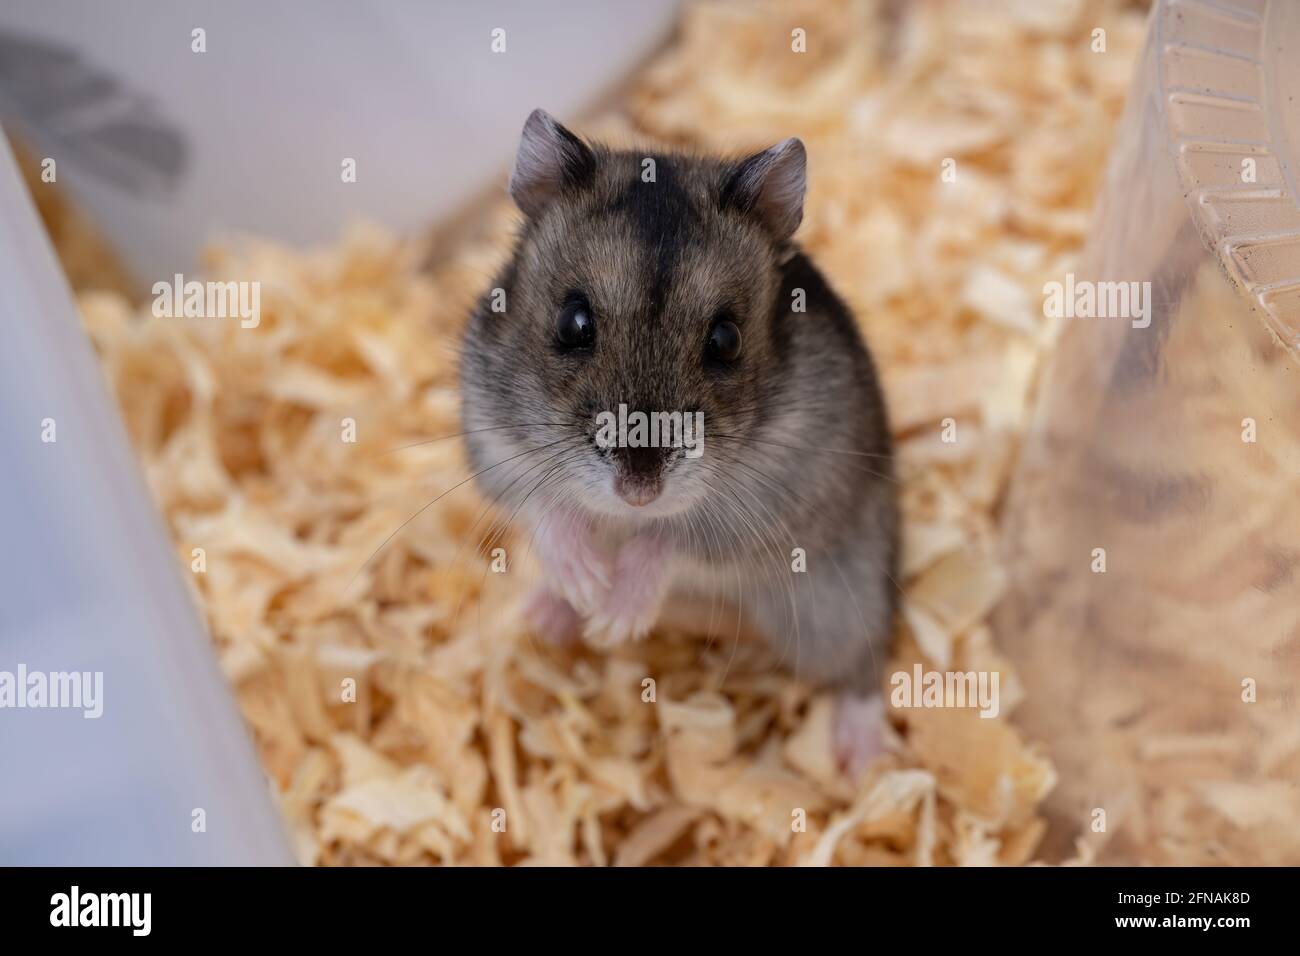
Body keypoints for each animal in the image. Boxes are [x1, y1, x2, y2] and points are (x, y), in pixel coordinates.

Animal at [459, 109, 899, 773]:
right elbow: (547, 506)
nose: (638, 493)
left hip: (840, 606)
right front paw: (586, 583)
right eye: (573, 322)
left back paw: (863, 760)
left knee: (864, 661)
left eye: (726, 339)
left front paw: (616, 619)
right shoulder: (493, 443)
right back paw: (553, 613)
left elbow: (669, 540)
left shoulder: (769, 500)